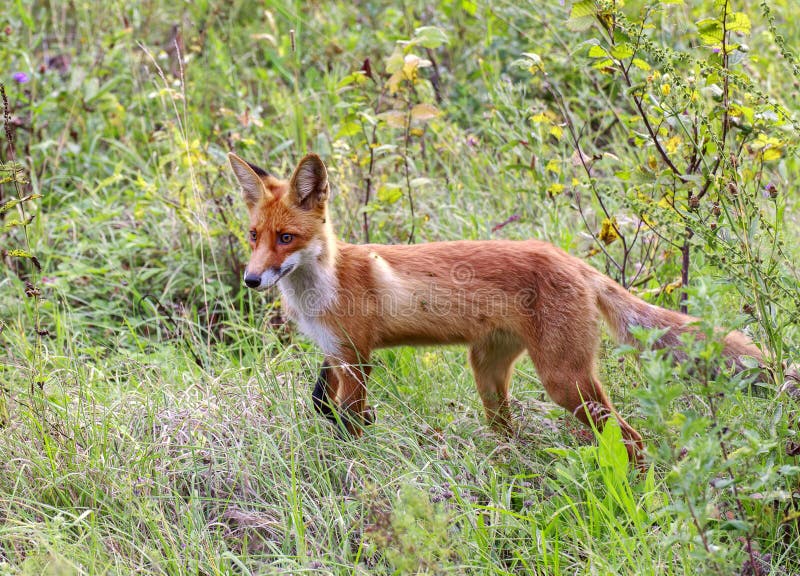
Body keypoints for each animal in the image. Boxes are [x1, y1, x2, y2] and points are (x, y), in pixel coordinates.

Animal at [229, 150, 788, 461]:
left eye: (286, 238)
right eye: (254, 236)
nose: (252, 279)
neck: (322, 287)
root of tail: (571, 259)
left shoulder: (357, 358)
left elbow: (350, 423)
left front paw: (349, 466)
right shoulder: (333, 356)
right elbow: (323, 407)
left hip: (565, 382)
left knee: (631, 437)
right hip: (489, 375)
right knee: (511, 431)